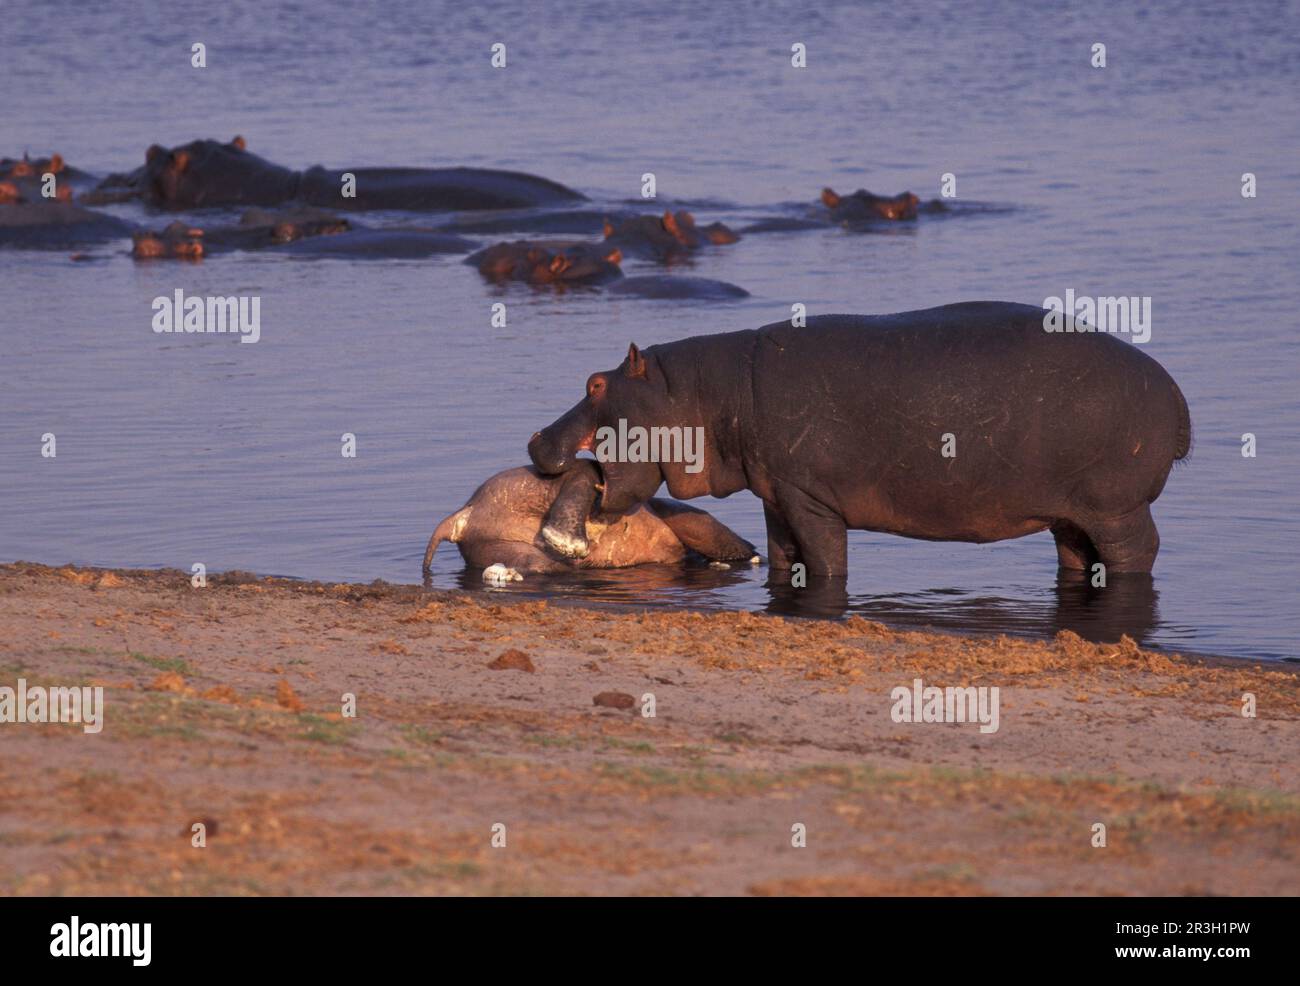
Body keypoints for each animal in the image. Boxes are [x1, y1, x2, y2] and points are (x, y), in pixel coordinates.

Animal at [527, 301, 1191, 579]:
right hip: (1070, 514)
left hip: (1116, 506)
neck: (699, 393)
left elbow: (825, 559)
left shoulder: (810, 496)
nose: (534, 438)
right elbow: (786, 555)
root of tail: (1177, 395)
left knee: (1138, 550)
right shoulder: (778, 495)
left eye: (595, 382)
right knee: (1078, 553)